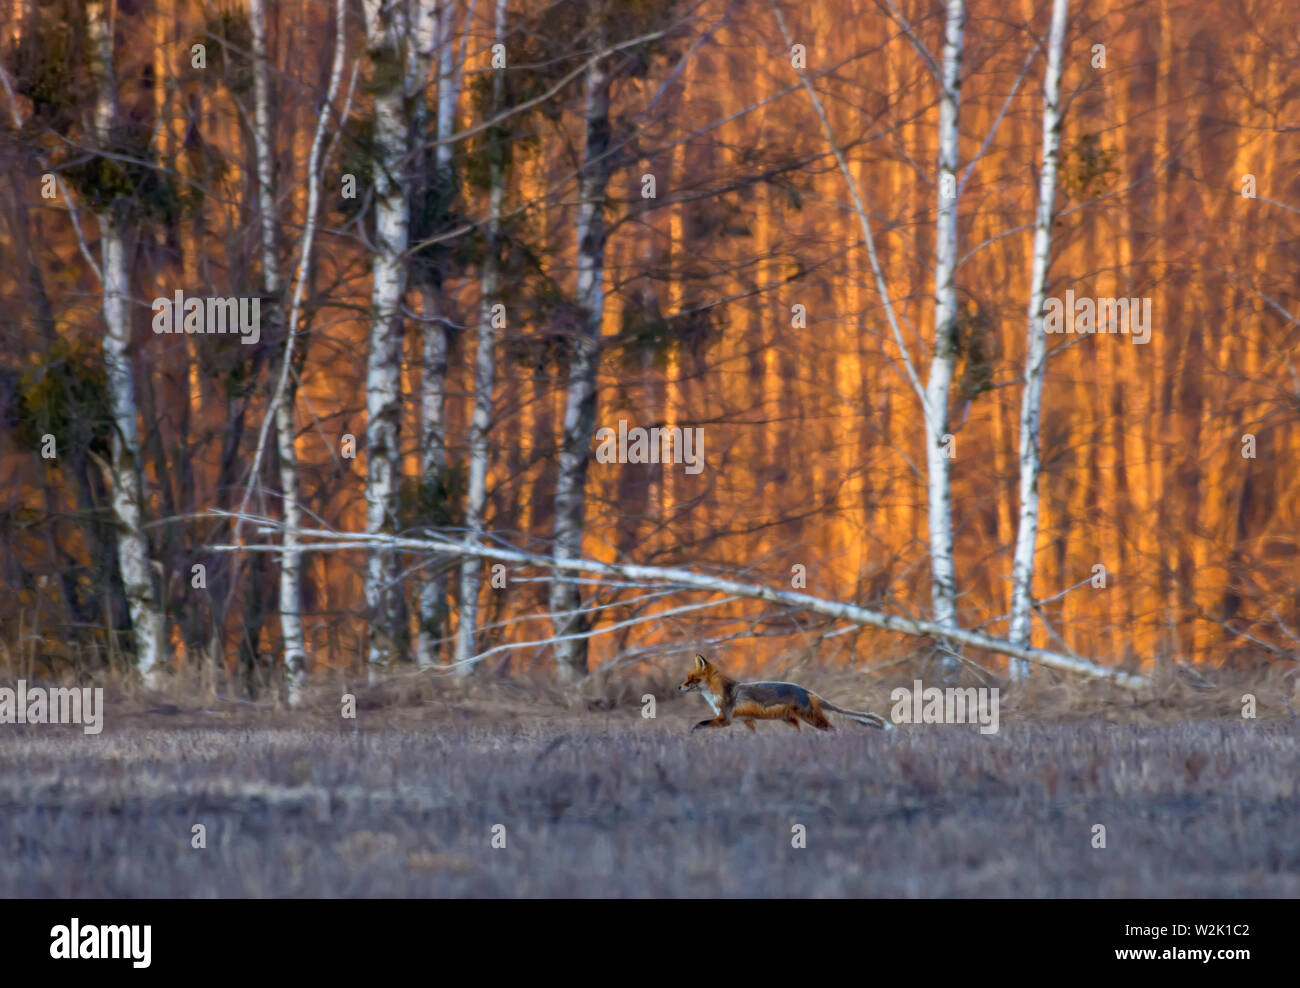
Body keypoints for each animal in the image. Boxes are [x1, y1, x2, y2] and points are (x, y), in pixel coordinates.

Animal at [678, 654, 892, 732]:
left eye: (691, 678)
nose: (679, 687)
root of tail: (807, 690)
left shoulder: (725, 719)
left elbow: (700, 724)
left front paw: (692, 733)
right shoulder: (746, 720)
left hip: (812, 719)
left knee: (834, 729)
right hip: (790, 721)